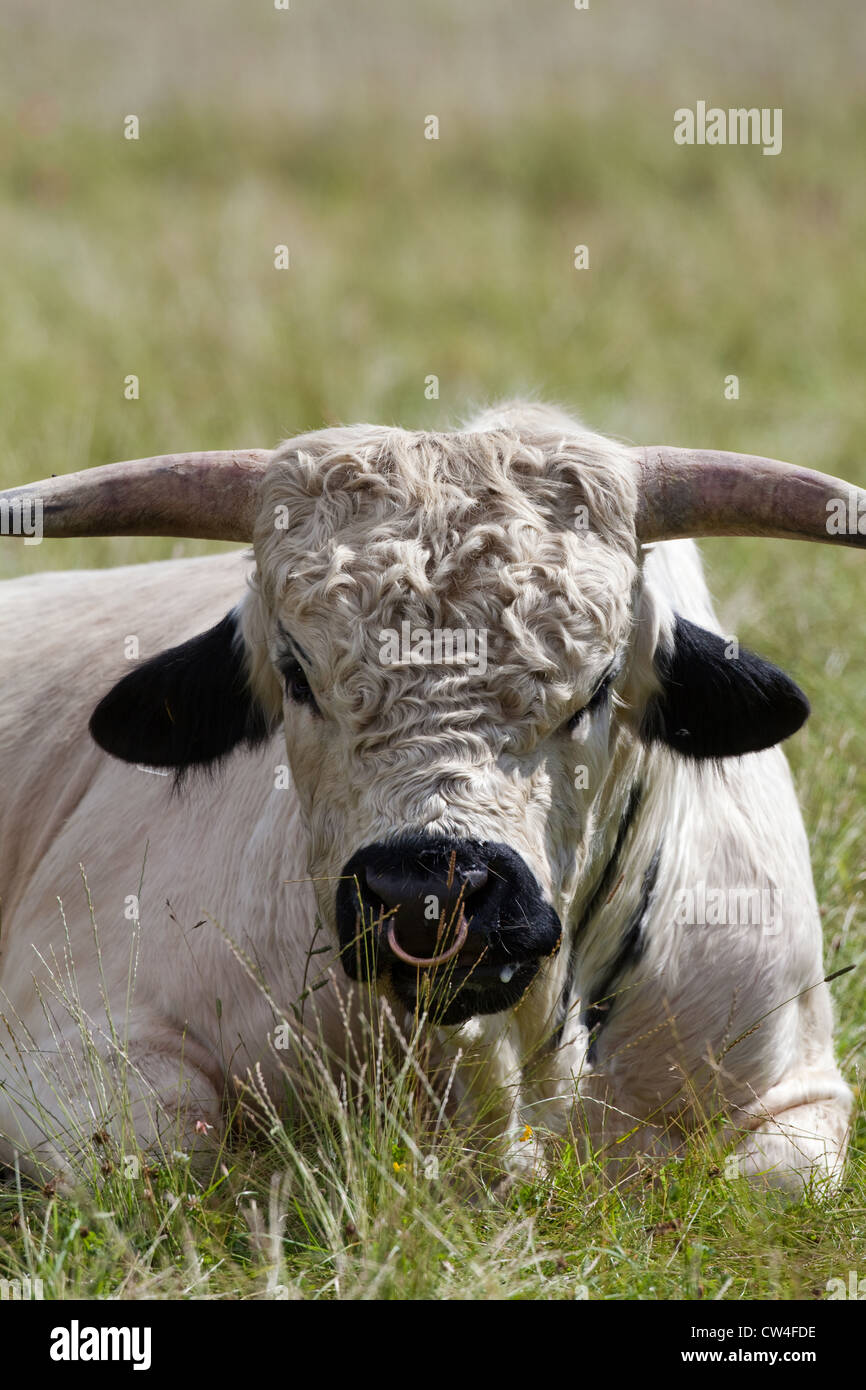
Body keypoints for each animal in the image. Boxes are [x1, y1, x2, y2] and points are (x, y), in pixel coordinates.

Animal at [0, 401, 860, 1189]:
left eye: (600, 686)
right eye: (296, 673)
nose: (429, 893)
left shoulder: (798, 1084)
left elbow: (778, 1180)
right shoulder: (70, 1046)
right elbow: (162, 1156)